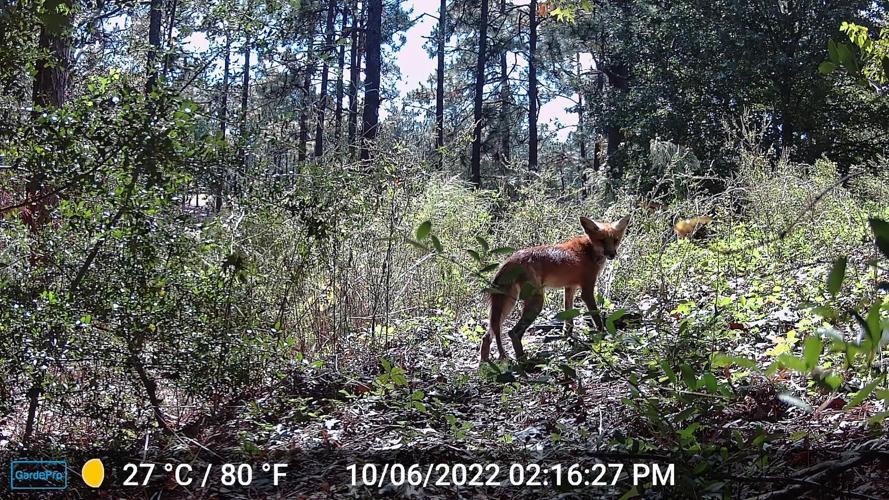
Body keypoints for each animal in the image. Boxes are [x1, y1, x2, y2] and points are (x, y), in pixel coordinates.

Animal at [480, 215, 630, 362]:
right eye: (602, 241)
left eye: (615, 240)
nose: (612, 254)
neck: (589, 250)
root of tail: (510, 260)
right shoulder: (587, 290)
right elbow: (597, 318)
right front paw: (603, 336)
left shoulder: (570, 288)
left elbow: (568, 320)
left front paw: (568, 338)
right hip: (535, 302)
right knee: (512, 332)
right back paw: (523, 360)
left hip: (508, 305)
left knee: (487, 336)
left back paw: (486, 365)